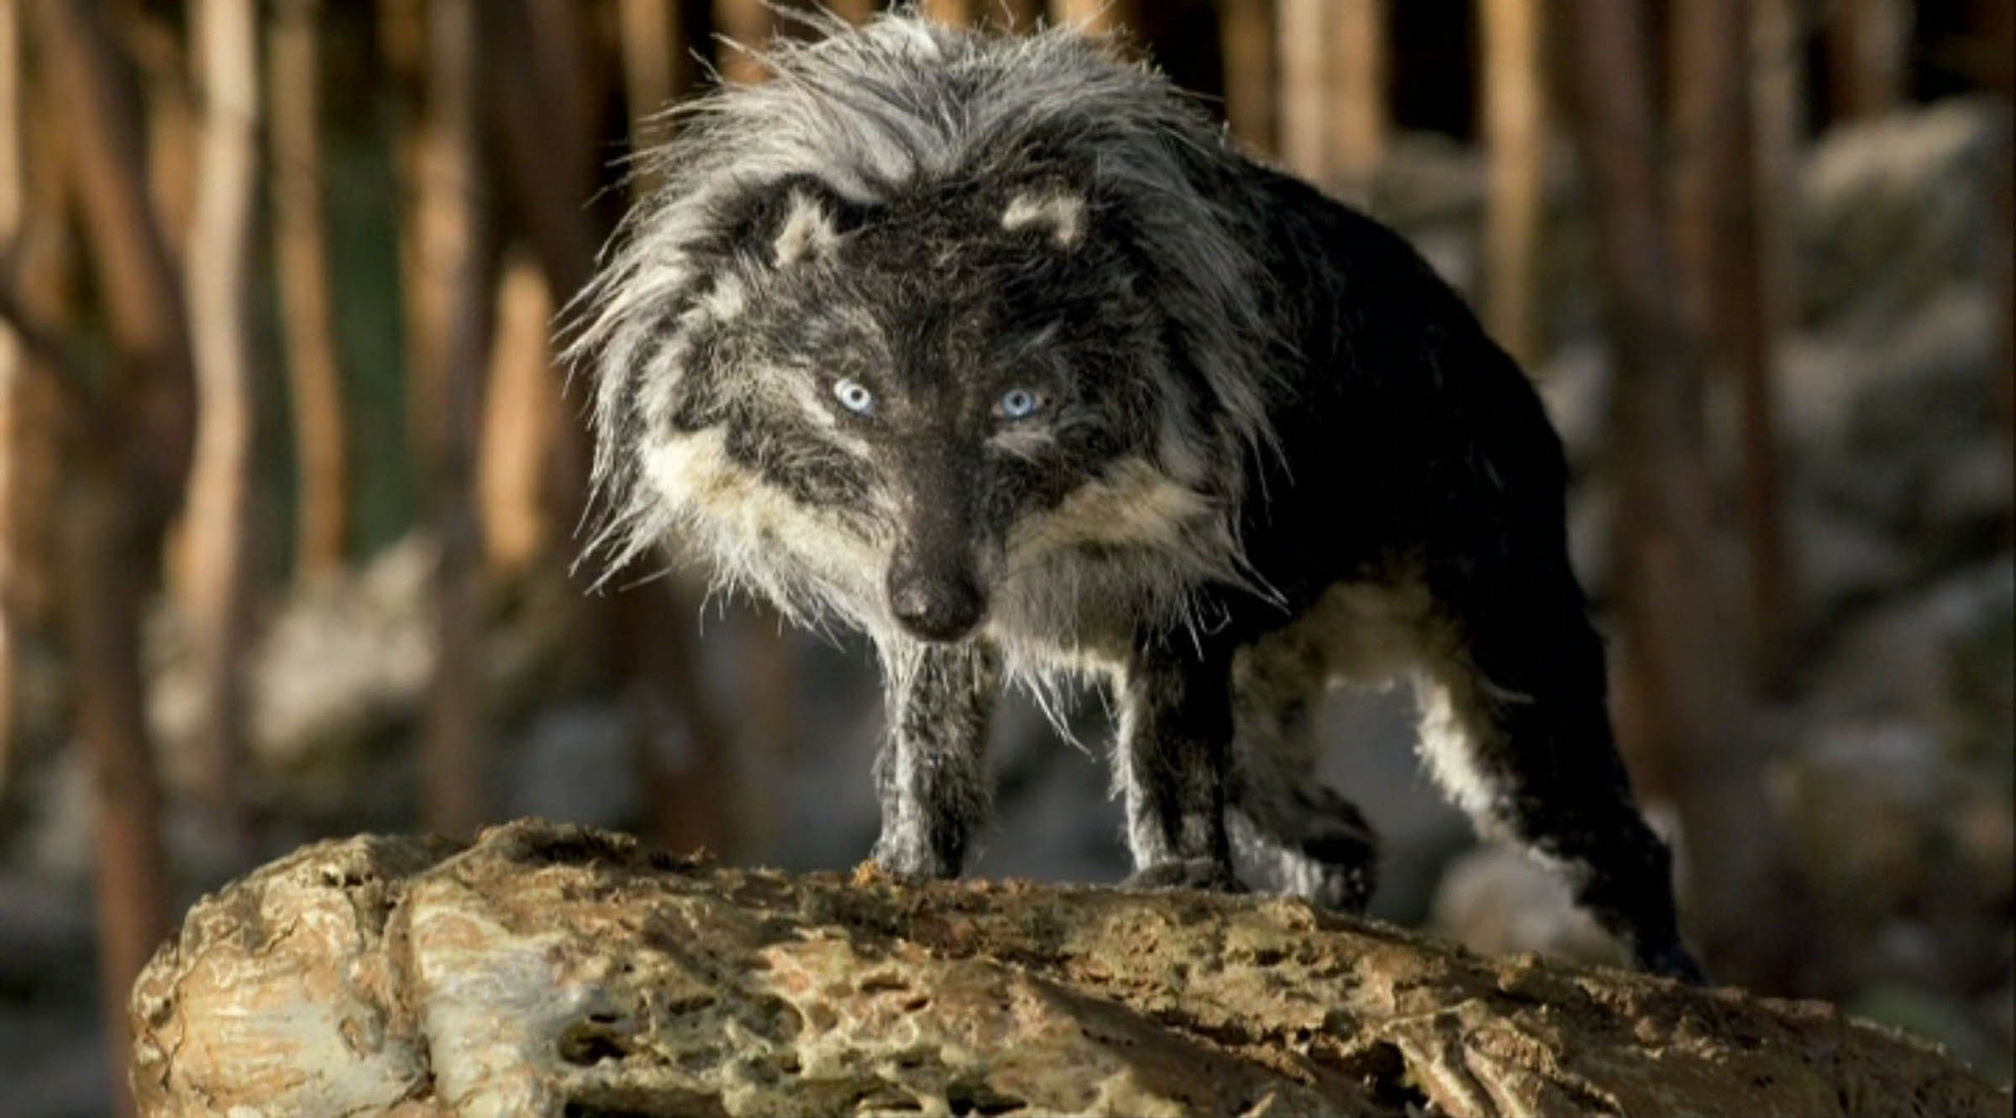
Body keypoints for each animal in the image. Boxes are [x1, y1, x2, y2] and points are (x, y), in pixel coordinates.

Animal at [567, 9, 1706, 982]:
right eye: (852, 396)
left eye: (1019, 402)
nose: (937, 601)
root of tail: (1499, 360)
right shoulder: (946, 637)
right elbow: (927, 765)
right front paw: (901, 872)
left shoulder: (1179, 618)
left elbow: (1165, 773)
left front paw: (1179, 888)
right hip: (1282, 726)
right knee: (1344, 836)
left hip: (1510, 711)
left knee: (1630, 847)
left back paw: (1679, 985)